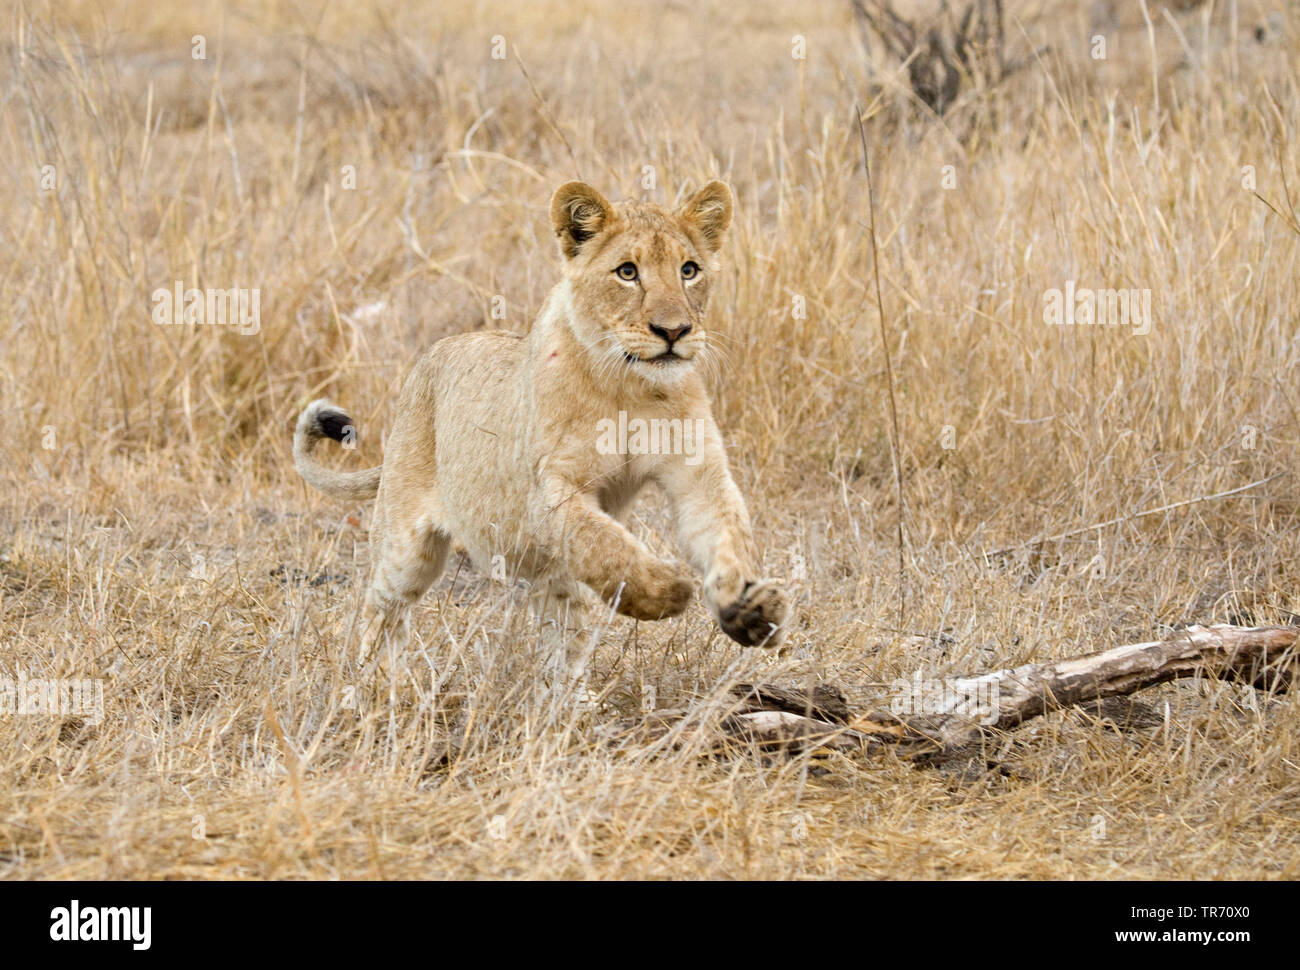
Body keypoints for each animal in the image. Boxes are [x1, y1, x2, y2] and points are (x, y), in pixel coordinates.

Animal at [293, 179, 789, 667]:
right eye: (627, 273)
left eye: (689, 270)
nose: (673, 331)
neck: (631, 387)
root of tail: (426, 361)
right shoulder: (550, 489)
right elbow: (604, 543)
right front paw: (666, 592)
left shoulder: (697, 474)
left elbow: (727, 530)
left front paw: (752, 608)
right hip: (406, 548)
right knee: (381, 609)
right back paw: (377, 680)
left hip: (554, 581)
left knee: (562, 640)